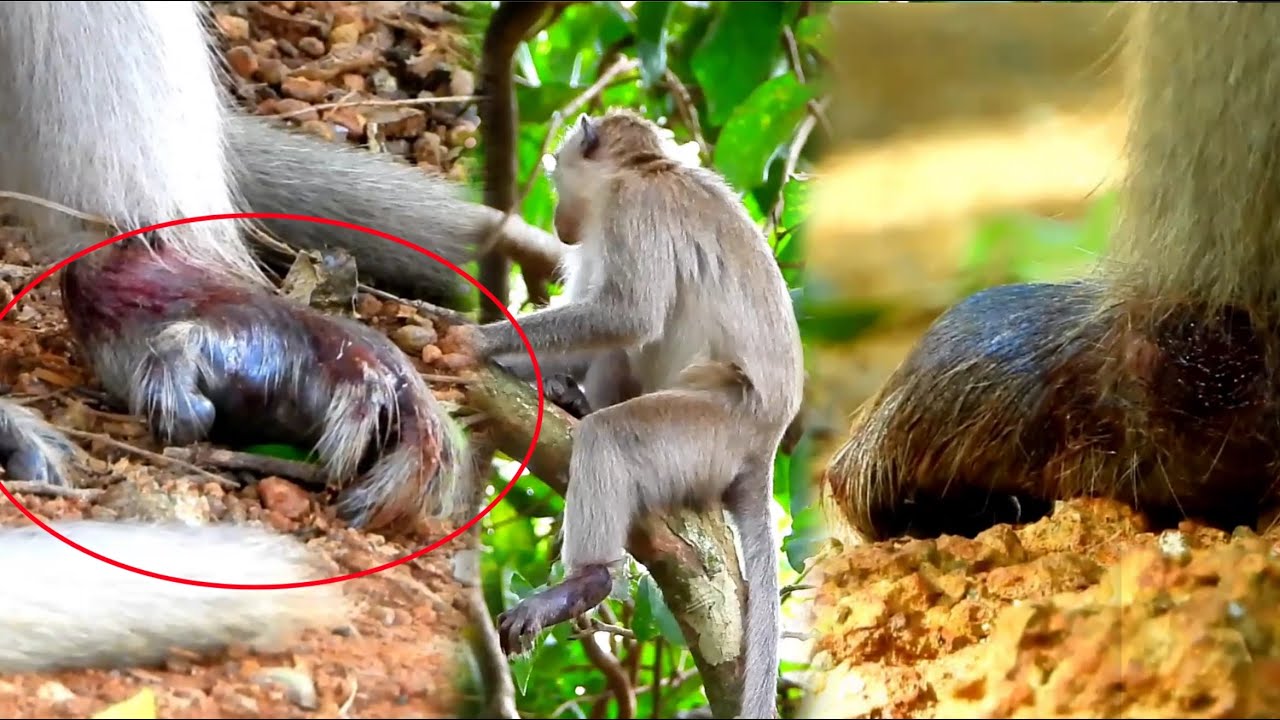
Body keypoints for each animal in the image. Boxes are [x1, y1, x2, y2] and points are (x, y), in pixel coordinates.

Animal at [459, 110, 806, 720]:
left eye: (558, 175)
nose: (559, 219)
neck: (646, 168)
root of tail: (766, 442)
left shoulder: (631, 210)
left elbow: (627, 315)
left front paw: (473, 341)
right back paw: (574, 401)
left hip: (711, 429)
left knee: (613, 432)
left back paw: (588, 579)